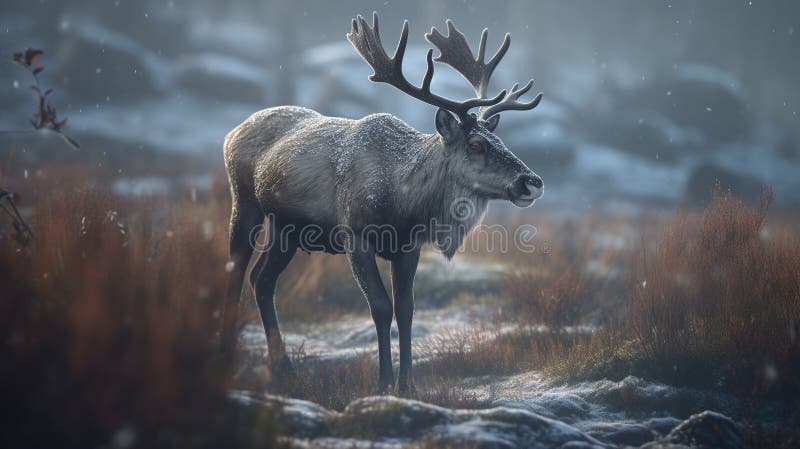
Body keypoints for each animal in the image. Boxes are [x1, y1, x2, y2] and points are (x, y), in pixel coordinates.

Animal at [221, 12, 544, 393]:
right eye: (476, 144)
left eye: (501, 139)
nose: (532, 181)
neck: (403, 204)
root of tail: (231, 133)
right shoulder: (355, 236)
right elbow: (380, 306)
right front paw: (384, 381)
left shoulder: (409, 248)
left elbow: (406, 309)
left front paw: (408, 385)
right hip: (244, 201)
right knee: (236, 269)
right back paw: (227, 353)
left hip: (287, 228)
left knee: (262, 280)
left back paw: (282, 367)